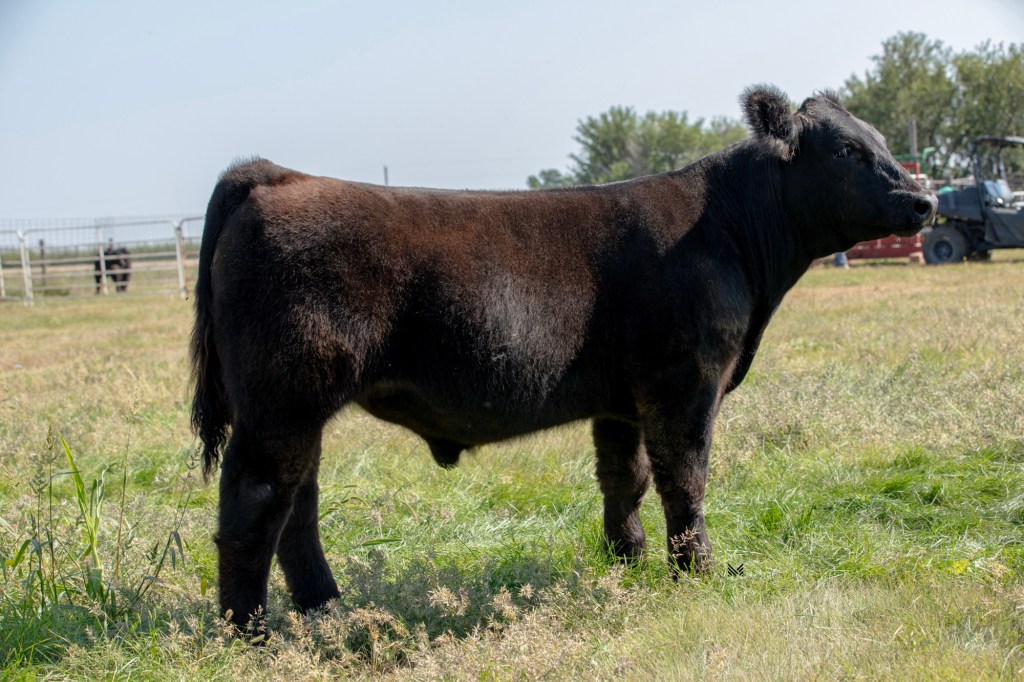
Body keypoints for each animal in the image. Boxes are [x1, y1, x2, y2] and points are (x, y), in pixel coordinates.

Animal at [190, 85, 936, 630]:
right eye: (845, 150)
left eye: (882, 142)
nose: (924, 199)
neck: (730, 233)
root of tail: (279, 176)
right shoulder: (687, 381)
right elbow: (685, 480)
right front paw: (695, 574)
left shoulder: (623, 398)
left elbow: (624, 480)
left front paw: (627, 564)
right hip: (281, 402)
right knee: (256, 503)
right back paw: (249, 633)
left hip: (299, 409)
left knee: (298, 503)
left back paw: (326, 609)